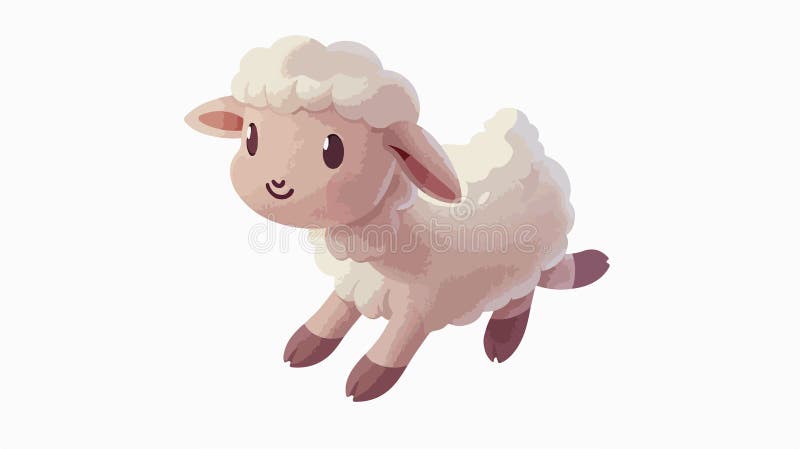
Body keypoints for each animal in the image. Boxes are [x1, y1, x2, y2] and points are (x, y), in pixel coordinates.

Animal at [185, 35, 610, 401]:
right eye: (251, 137)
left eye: (333, 149)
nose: (276, 185)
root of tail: (524, 141)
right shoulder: (354, 282)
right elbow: (334, 312)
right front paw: (307, 341)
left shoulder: (422, 304)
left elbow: (397, 341)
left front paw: (368, 377)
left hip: (523, 262)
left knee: (524, 294)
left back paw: (502, 339)